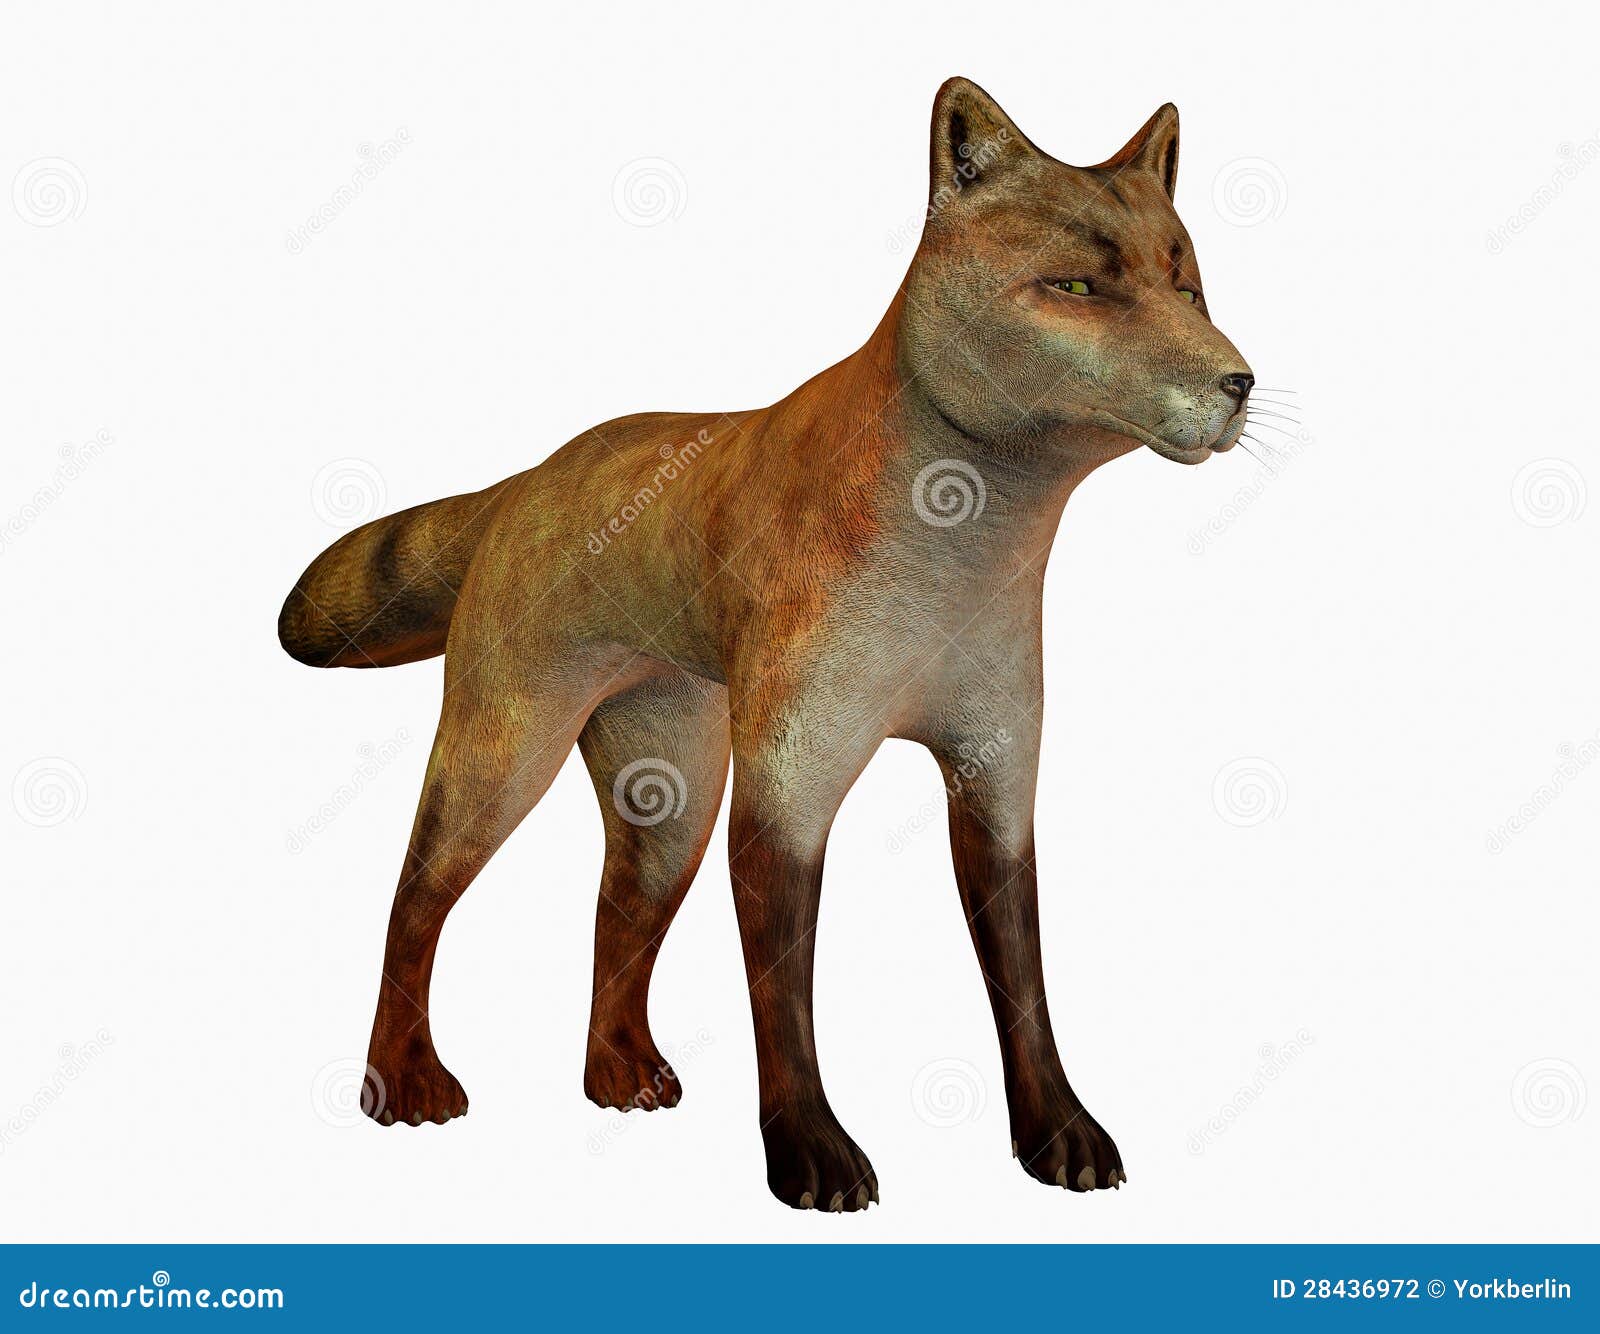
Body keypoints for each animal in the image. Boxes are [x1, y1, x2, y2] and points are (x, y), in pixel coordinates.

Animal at [279, 77, 1259, 1212]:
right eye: (1077, 285)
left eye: (1188, 289)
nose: (1239, 382)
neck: (961, 561)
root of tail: (533, 474)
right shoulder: (788, 787)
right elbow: (783, 996)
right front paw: (810, 1154)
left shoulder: (996, 771)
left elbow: (1023, 983)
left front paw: (1058, 1134)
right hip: (506, 756)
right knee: (412, 901)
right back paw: (401, 1080)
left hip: (670, 798)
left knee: (614, 918)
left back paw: (616, 1072)